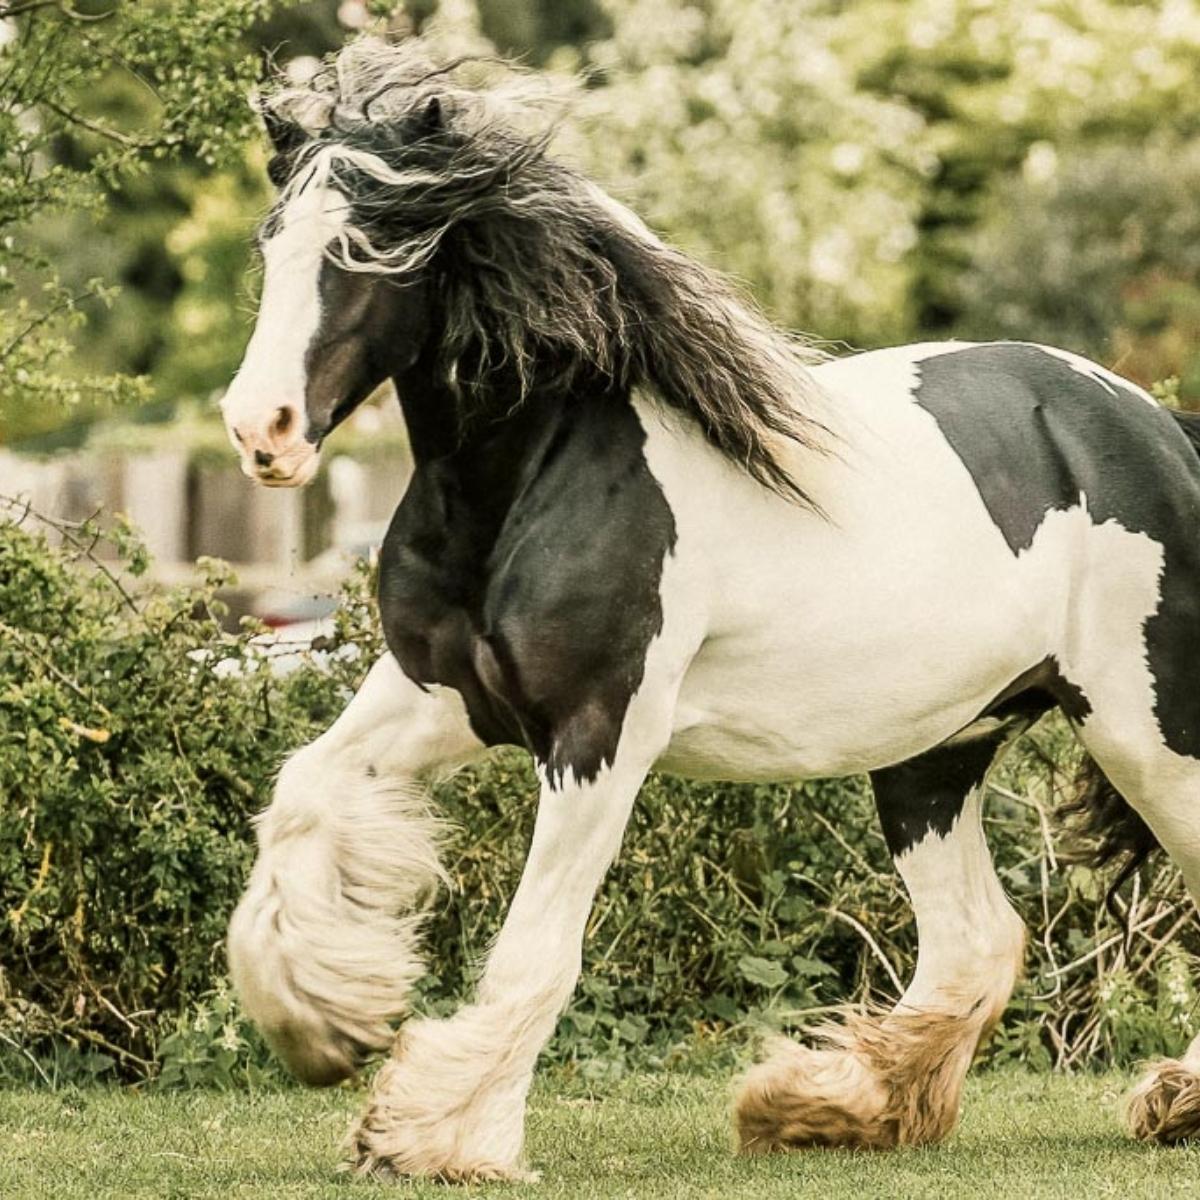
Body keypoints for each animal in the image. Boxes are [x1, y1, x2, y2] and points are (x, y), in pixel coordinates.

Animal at [219, 38, 1200, 1181]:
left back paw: (1166, 1098)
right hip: (936, 750)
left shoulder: (600, 737)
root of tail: (1157, 431)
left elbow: (539, 949)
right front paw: (323, 1026)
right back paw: (827, 1107)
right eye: (274, 241)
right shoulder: (436, 696)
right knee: (977, 941)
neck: (525, 484)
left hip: (1145, 733)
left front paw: (437, 1134)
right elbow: (302, 795)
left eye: (375, 248)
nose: (261, 429)